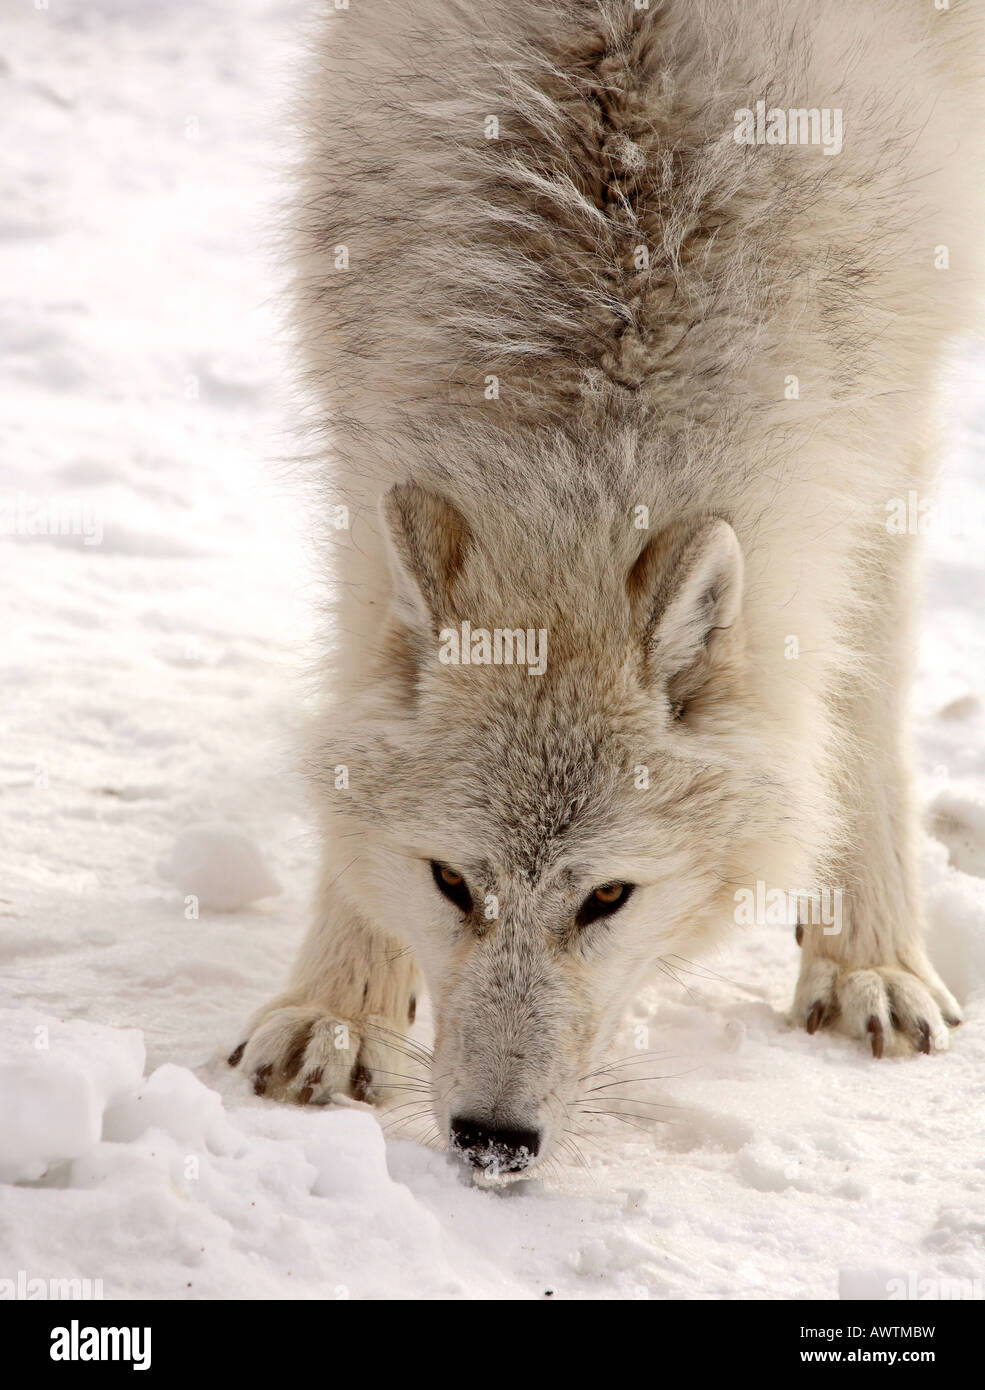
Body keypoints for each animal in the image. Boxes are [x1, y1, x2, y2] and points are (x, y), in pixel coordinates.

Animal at [230, 0, 983, 1175]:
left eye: (608, 897)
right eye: (451, 883)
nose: (492, 1142)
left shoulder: (875, 430)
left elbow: (857, 700)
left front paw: (868, 959)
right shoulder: (366, 446)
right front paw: (340, 1009)